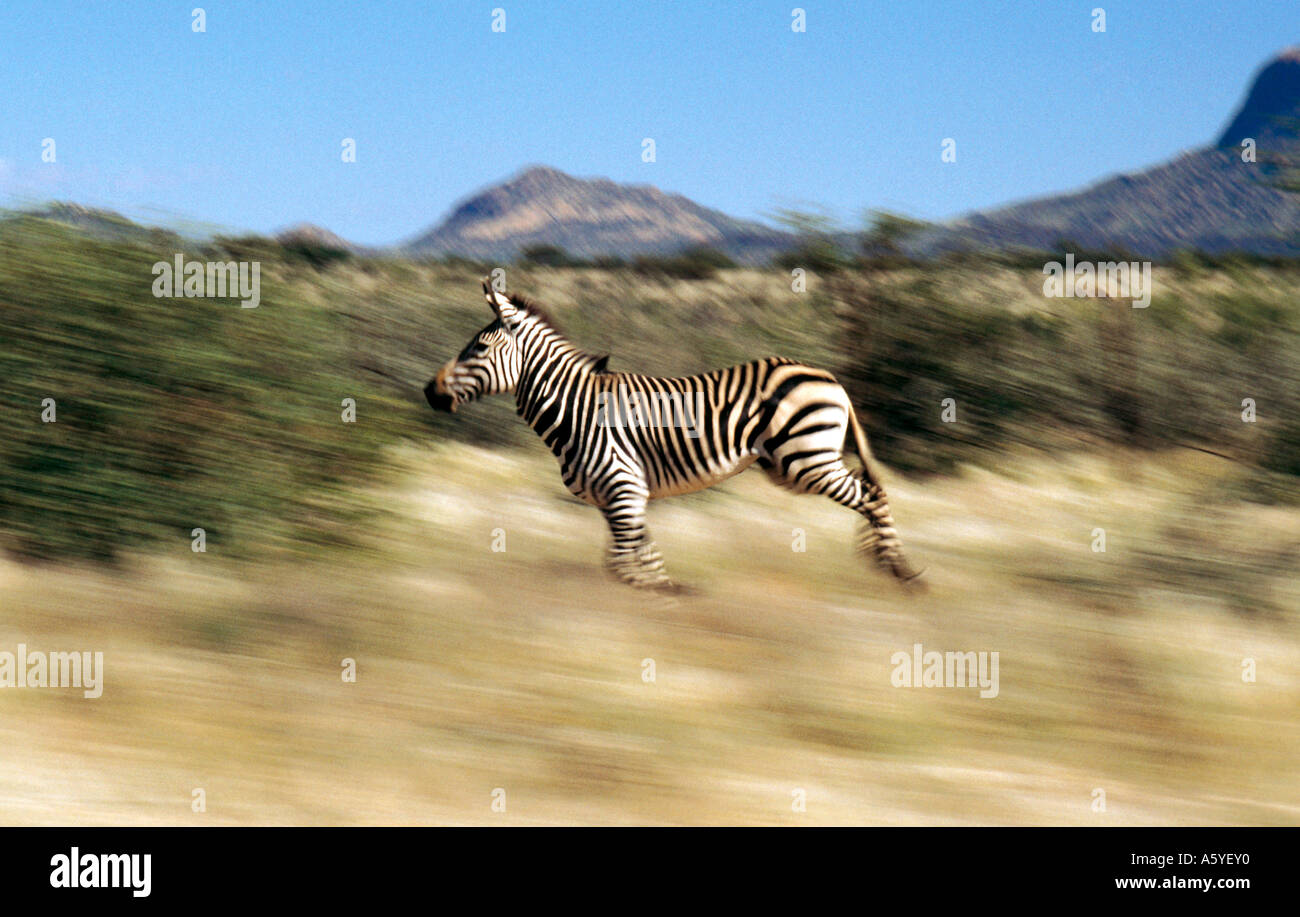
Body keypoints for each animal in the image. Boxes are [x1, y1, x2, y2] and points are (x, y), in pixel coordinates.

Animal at [425, 279, 922, 592]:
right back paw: (884, 561)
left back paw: (901, 572)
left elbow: (622, 566)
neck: (574, 408)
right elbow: (639, 559)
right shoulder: (622, 495)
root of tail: (830, 378)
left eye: (478, 349)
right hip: (796, 463)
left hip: (806, 459)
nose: (430, 391)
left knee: (872, 493)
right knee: (871, 488)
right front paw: (670, 593)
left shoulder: (623, 486)